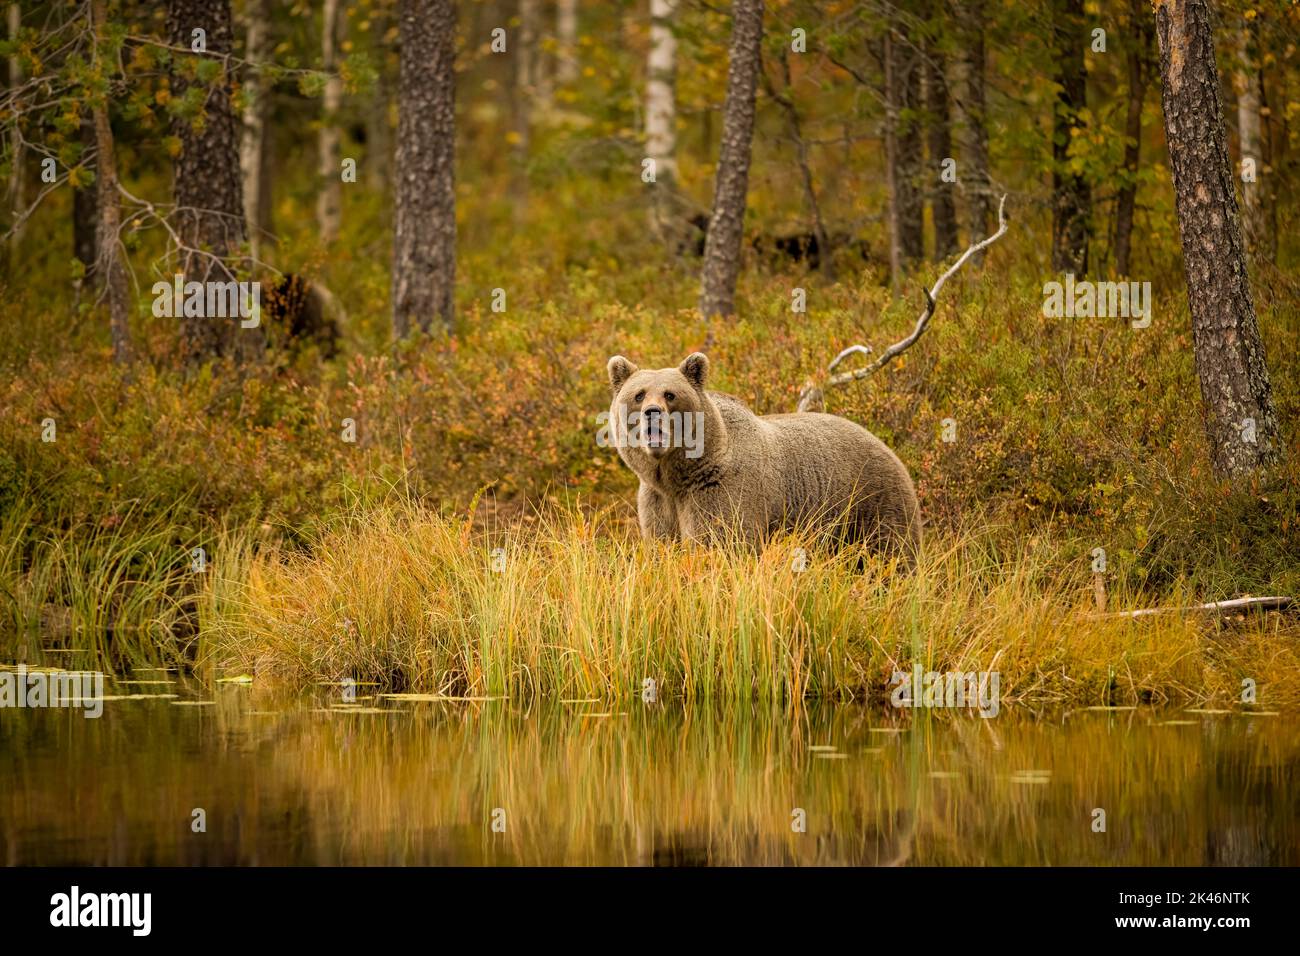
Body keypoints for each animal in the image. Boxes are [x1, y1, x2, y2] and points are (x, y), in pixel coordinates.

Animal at [606, 352, 921, 563]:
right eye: (639, 394)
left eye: (670, 394)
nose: (652, 412)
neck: (679, 474)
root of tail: (886, 446)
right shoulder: (658, 499)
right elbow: (662, 542)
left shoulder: (721, 491)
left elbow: (718, 544)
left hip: (872, 502)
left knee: (891, 555)